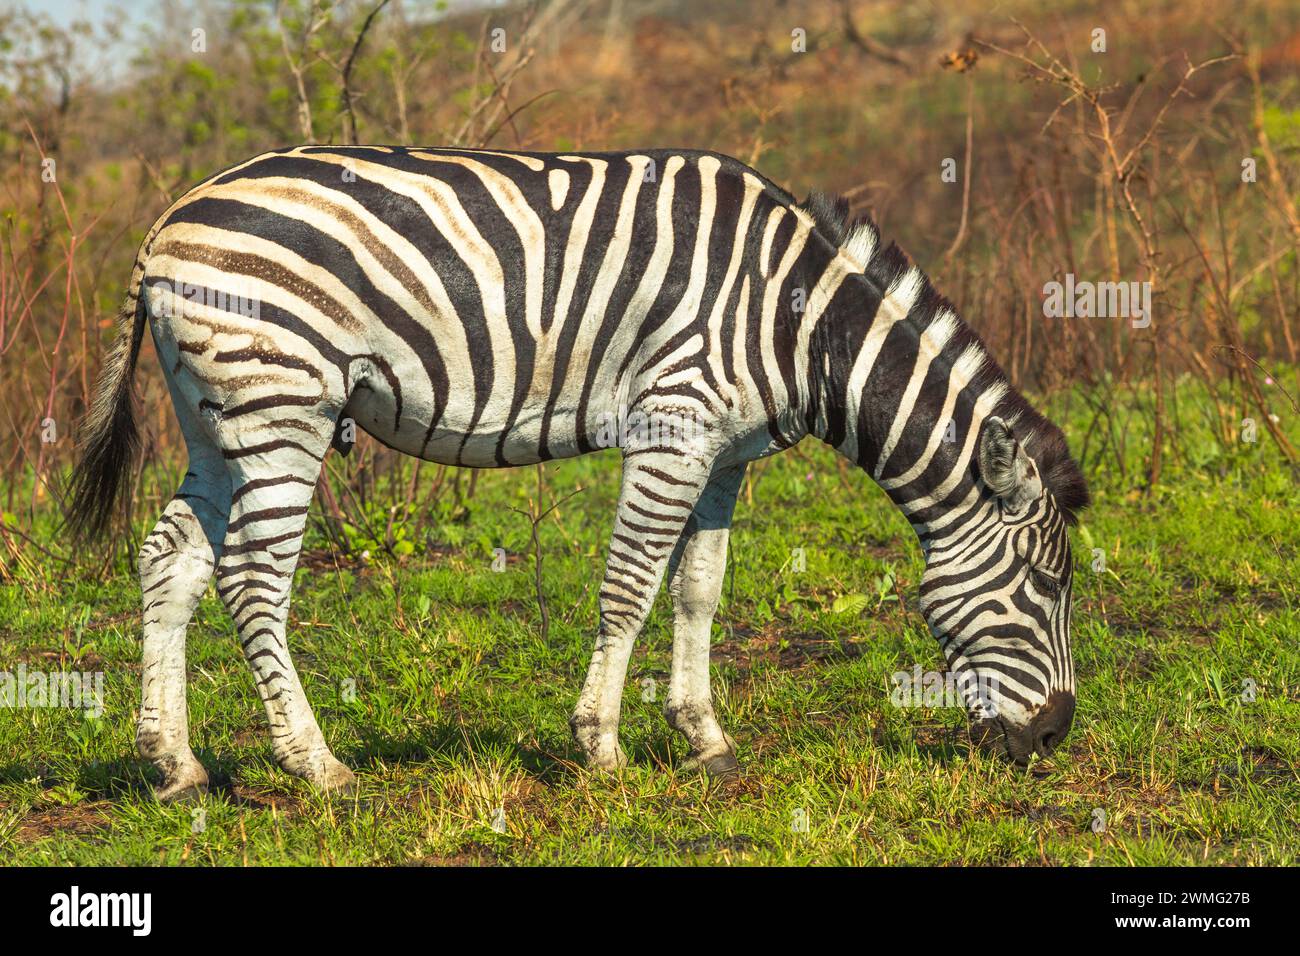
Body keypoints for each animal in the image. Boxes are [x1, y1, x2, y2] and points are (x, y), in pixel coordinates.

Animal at [69, 145, 1088, 800]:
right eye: (1046, 585)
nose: (1054, 736)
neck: (797, 321)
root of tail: (168, 219)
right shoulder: (673, 424)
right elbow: (631, 588)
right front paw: (601, 748)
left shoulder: (722, 452)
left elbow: (699, 591)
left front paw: (705, 740)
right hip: (284, 405)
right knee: (252, 581)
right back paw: (316, 766)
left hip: (220, 420)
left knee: (172, 561)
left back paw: (176, 767)